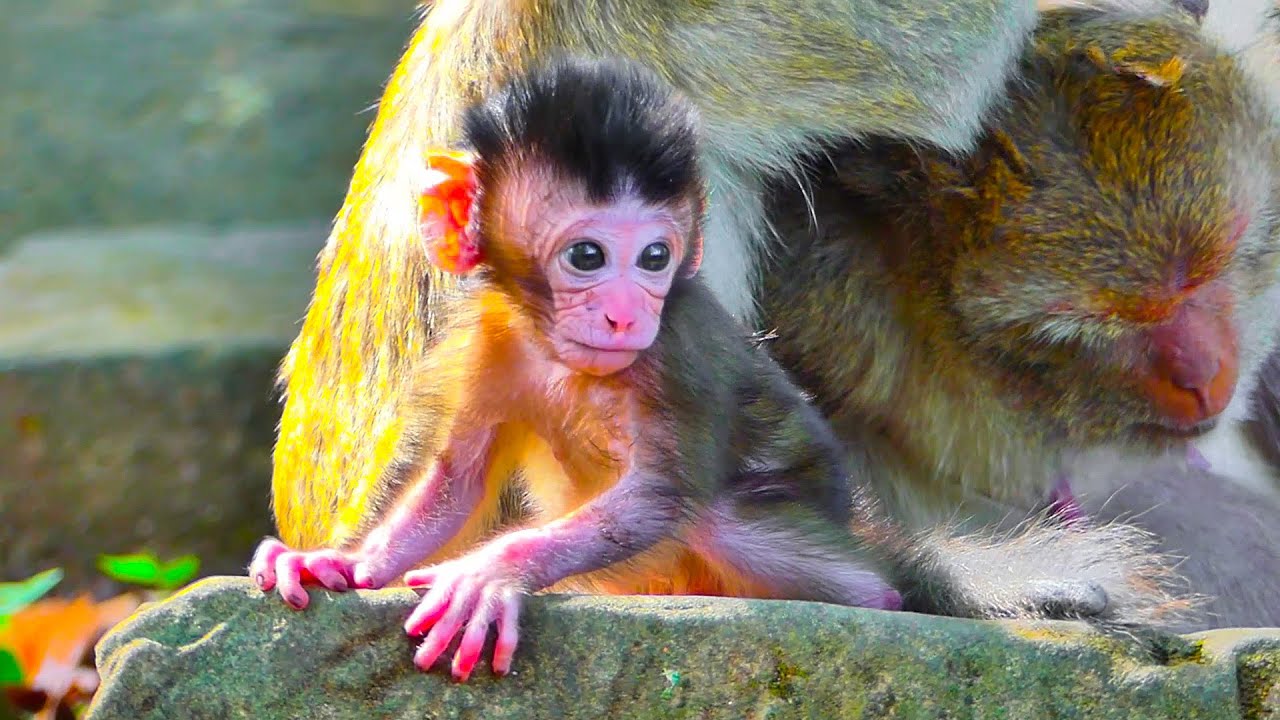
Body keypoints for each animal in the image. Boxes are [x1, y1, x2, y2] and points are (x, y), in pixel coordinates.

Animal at [251, 56, 1188, 681]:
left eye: (656, 258)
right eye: (588, 256)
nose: (627, 312)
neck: (564, 355)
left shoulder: (681, 354)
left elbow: (661, 495)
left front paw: (495, 570)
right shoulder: (490, 340)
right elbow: (452, 481)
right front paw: (335, 564)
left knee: (725, 521)